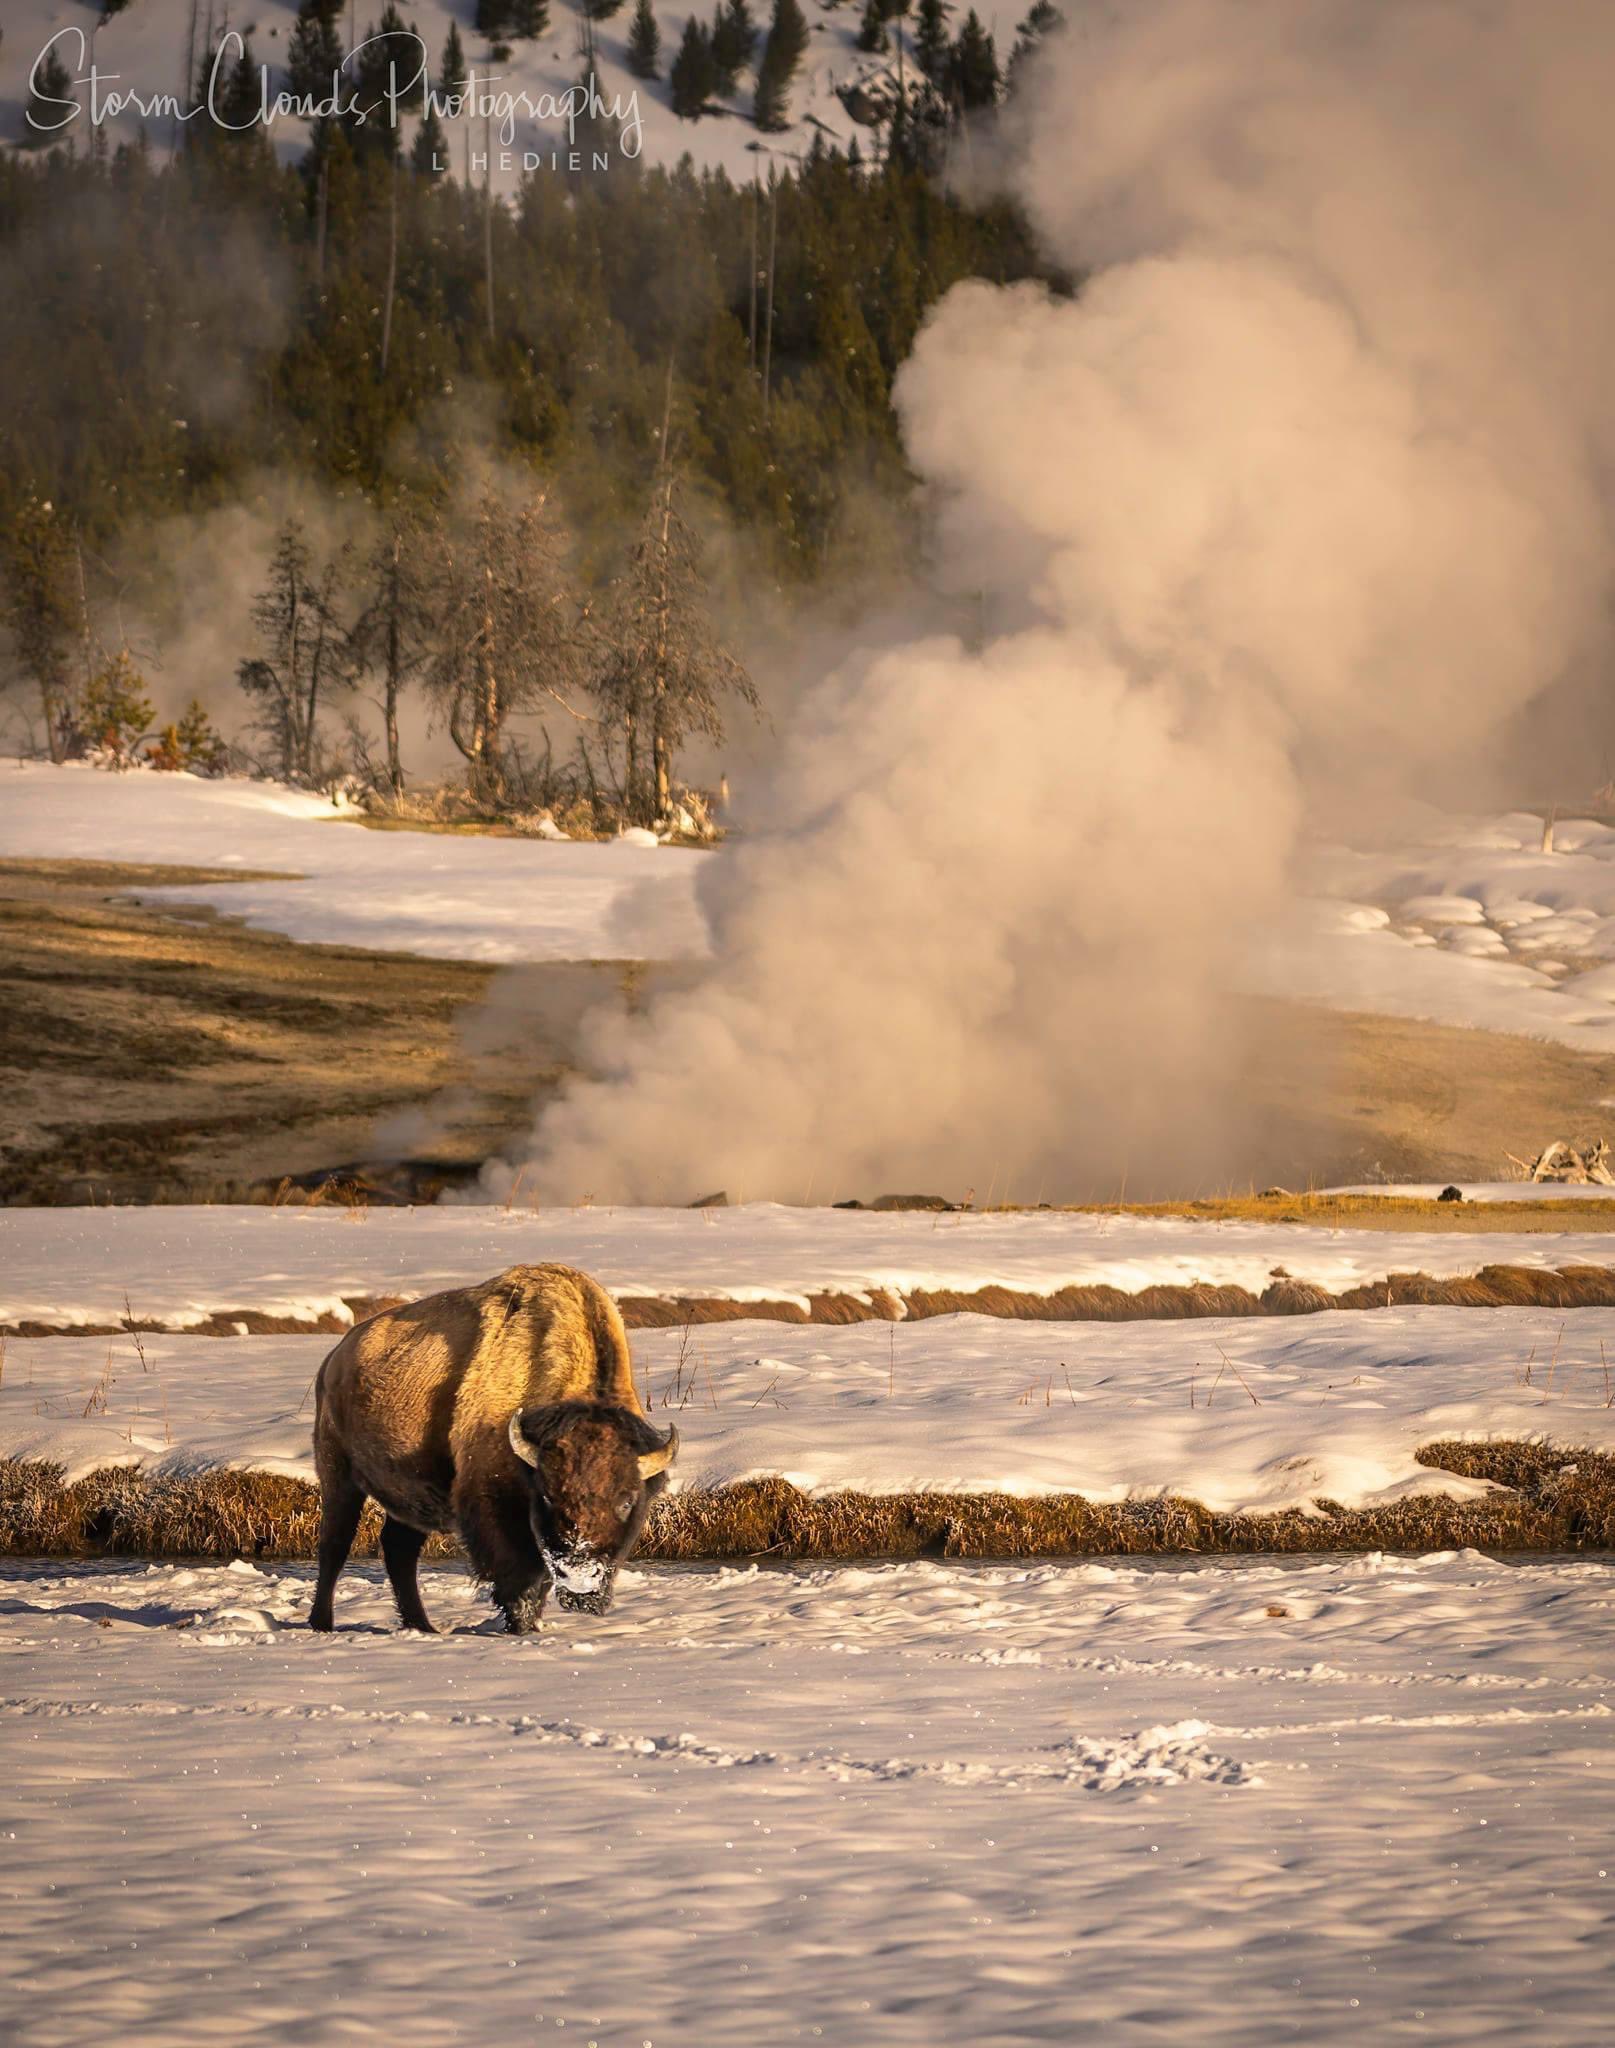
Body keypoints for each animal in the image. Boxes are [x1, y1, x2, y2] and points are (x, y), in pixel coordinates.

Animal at [309, 1263, 677, 1633]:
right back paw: (322, 1623)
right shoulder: (494, 1504)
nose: (579, 1581)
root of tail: (335, 1358)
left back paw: (423, 1626)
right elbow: (520, 1578)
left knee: (400, 1550)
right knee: (335, 1545)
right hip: (339, 1475)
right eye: (548, 1496)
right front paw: (521, 1627)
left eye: (627, 1500)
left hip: (410, 1494)